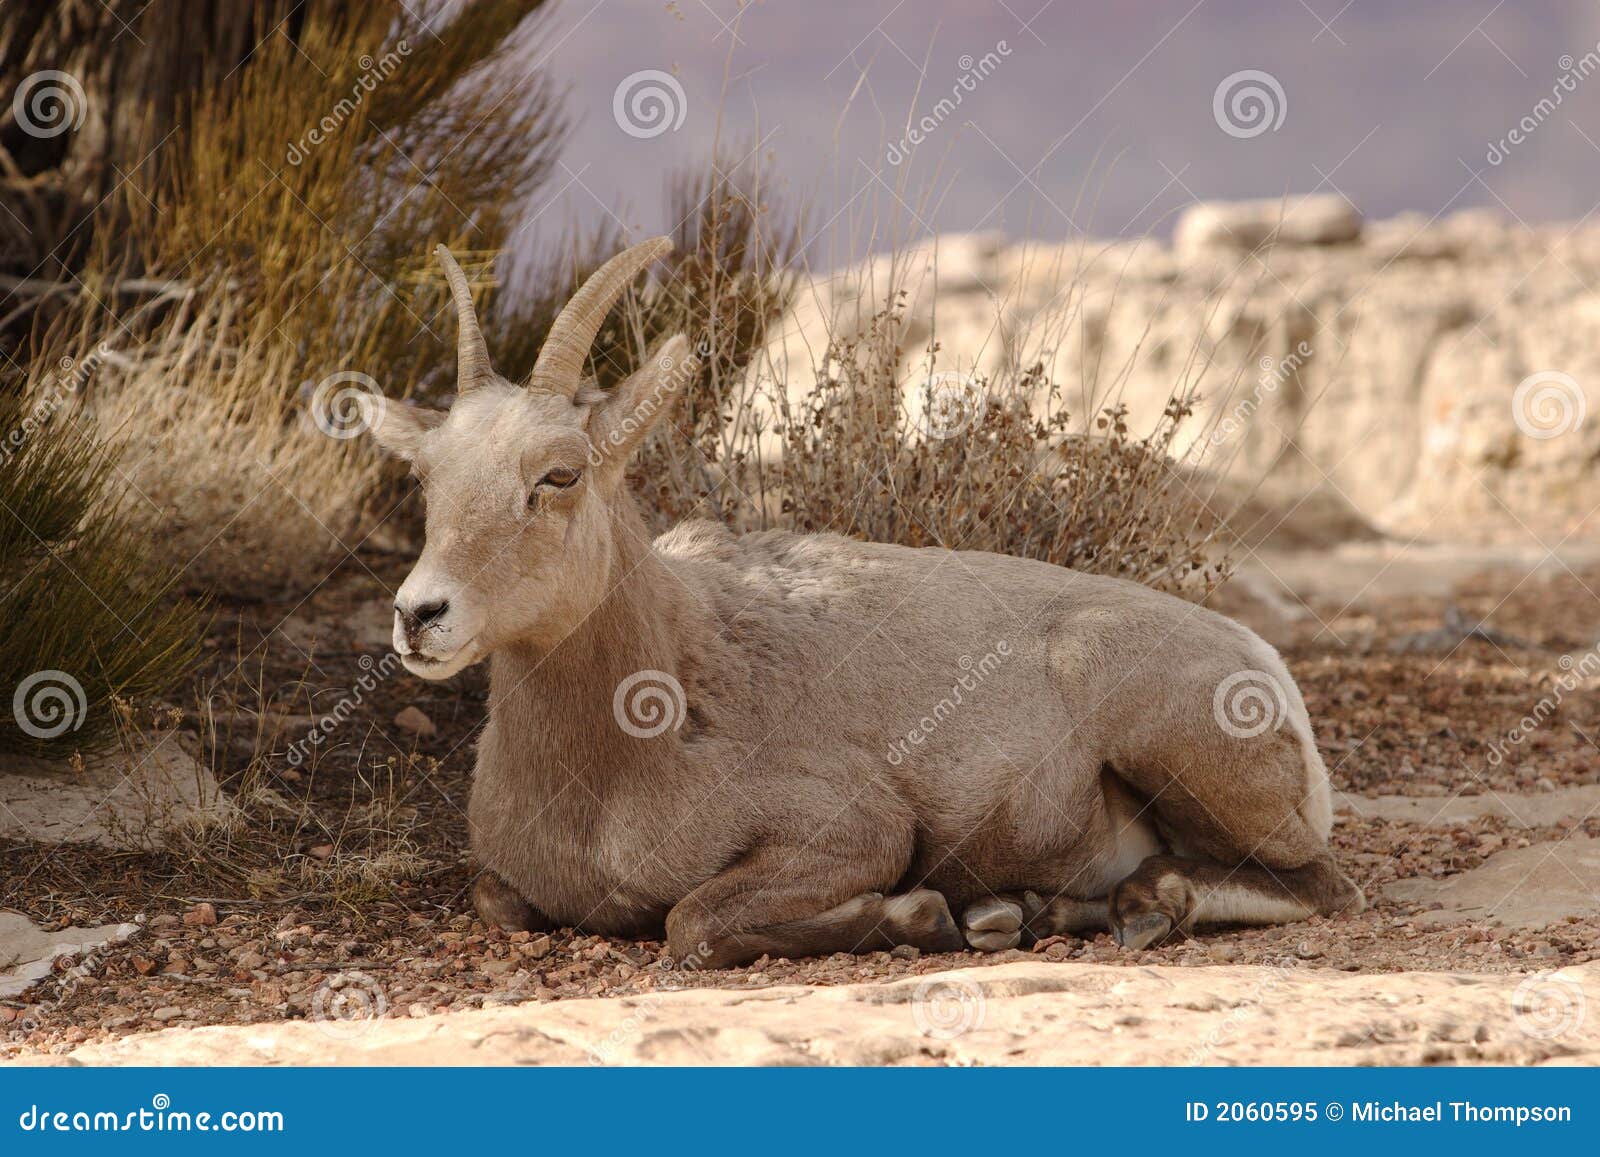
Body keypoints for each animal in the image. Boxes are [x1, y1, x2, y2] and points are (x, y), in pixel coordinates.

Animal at [366, 238, 1363, 969]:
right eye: (425, 475)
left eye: (559, 475)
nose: (420, 616)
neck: (625, 746)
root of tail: (1262, 666)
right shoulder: (505, 882)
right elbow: (503, 902)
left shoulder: (851, 831)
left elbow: (693, 922)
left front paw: (927, 916)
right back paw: (1028, 909)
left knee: (1322, 885)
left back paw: (1133, 905)